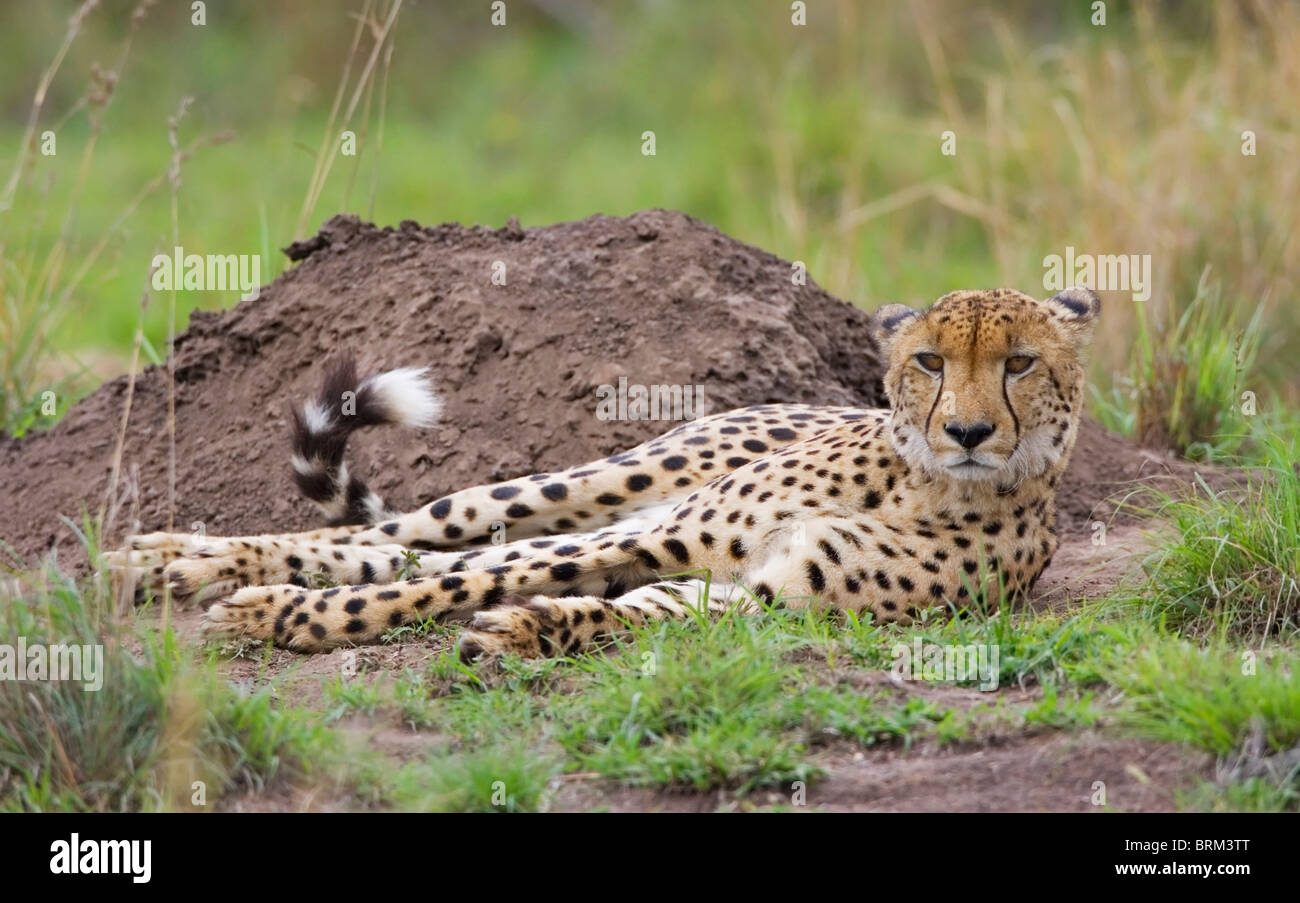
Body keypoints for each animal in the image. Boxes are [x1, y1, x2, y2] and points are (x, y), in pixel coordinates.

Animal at [107, 286, 1100, 663]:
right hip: (592, 491)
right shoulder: (671, 539)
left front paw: (530, 629)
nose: (968, 430)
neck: (924, 480)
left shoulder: (762, 594)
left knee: (429, 556)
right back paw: (181, 558)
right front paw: (287, 618)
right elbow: (429, 586)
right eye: (931, 360)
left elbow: (629, 613)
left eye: (1020, 363)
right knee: (402, 539)